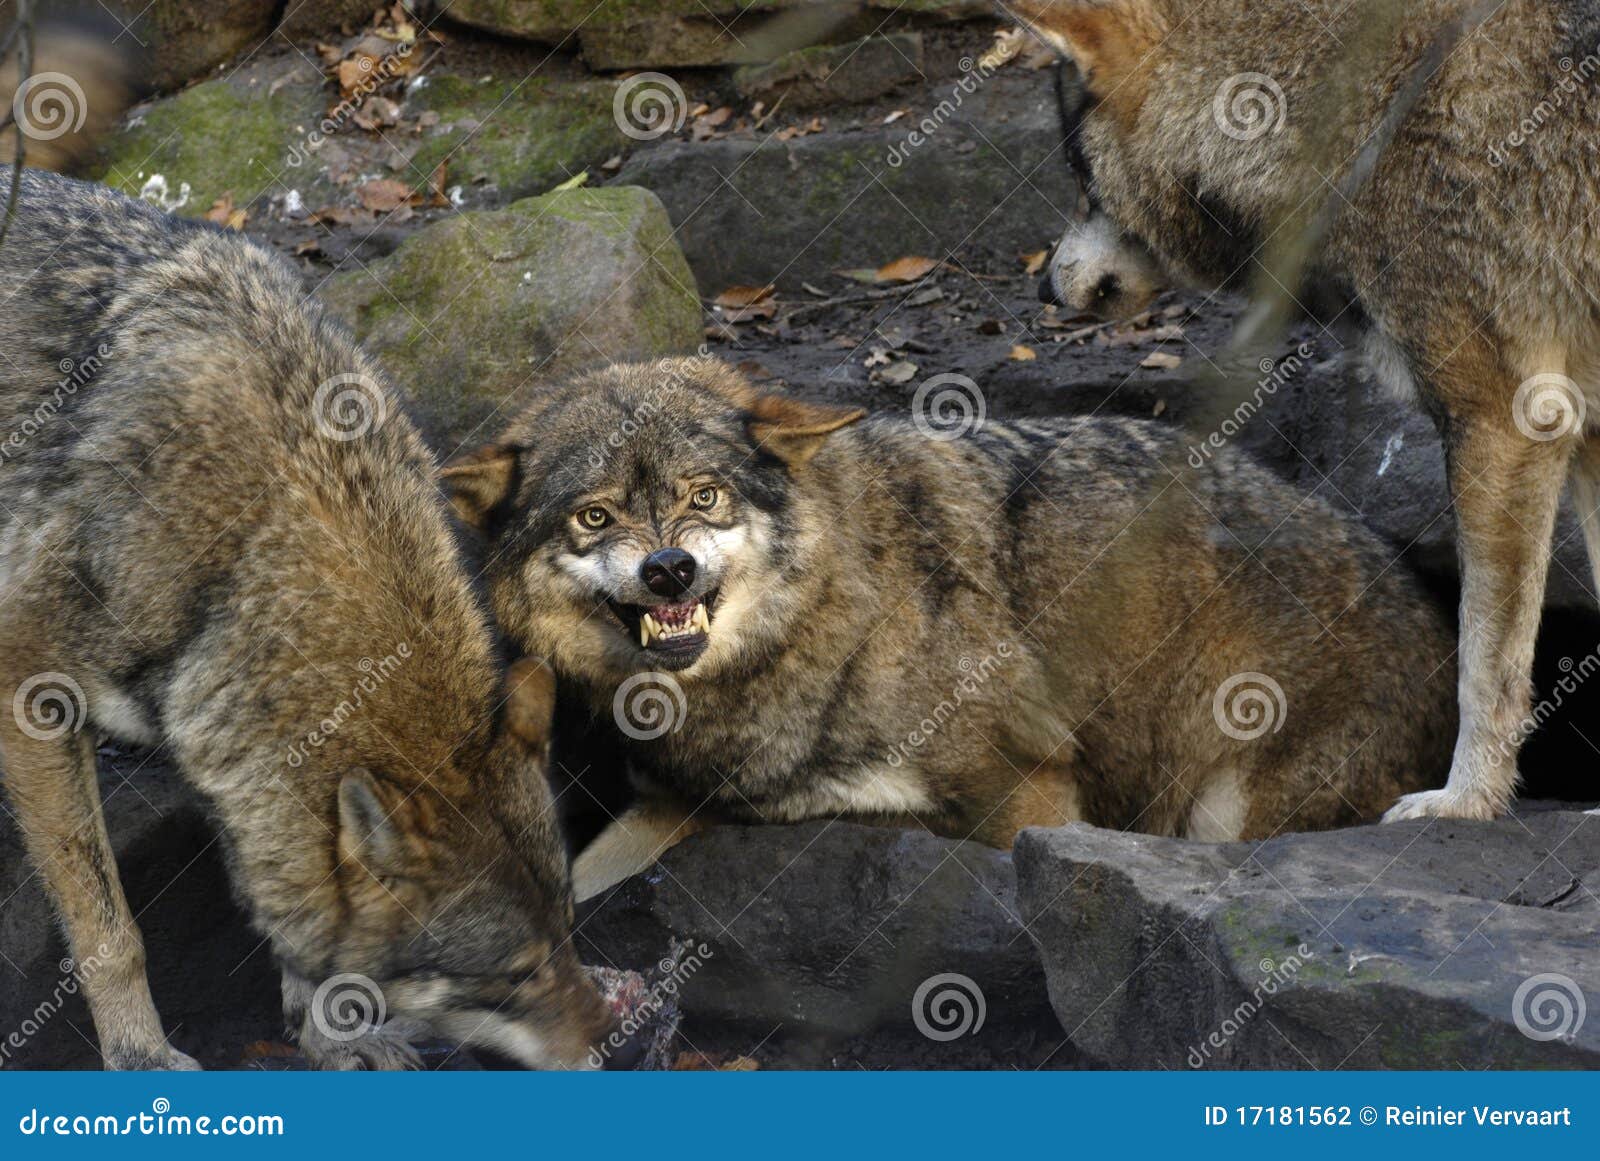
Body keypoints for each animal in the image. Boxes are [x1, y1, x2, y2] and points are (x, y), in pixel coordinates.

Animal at [0, 169, 613, 1070]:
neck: (248, 535)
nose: (620, 1048)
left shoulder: (224, 738)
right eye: (513, 973)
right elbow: (110, 931)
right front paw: (140, 1055)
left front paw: (331, 1030)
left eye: (571, 930)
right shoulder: (31, 698)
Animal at [442, 357, 1458, 900]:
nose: (668, 570)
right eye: (595, 516)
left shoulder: (1031, 799)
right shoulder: (673, 805)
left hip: (1227, 802)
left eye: (705, 497)